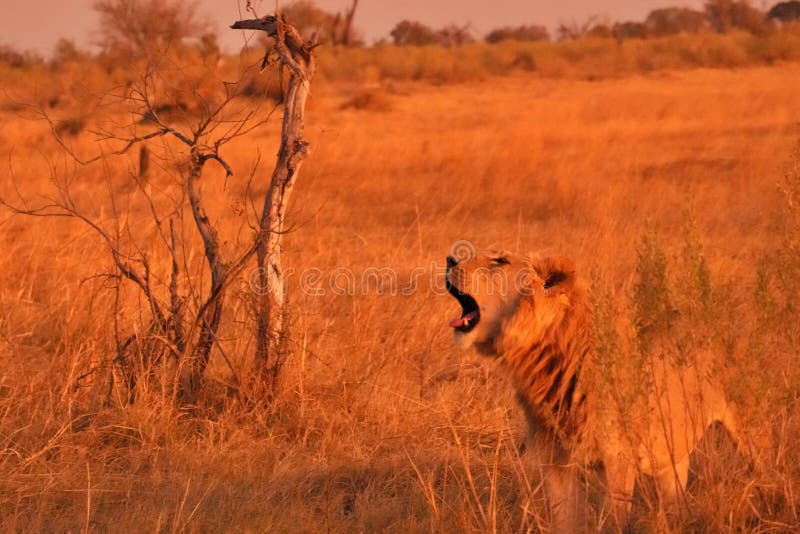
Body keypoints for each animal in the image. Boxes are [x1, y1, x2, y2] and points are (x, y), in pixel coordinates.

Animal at [445, 248, 741, 532]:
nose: (449, 260)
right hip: (672, 457)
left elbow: (614, 521)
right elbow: (564, 521)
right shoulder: (556, 460)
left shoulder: (617, 460)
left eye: (499, 261)